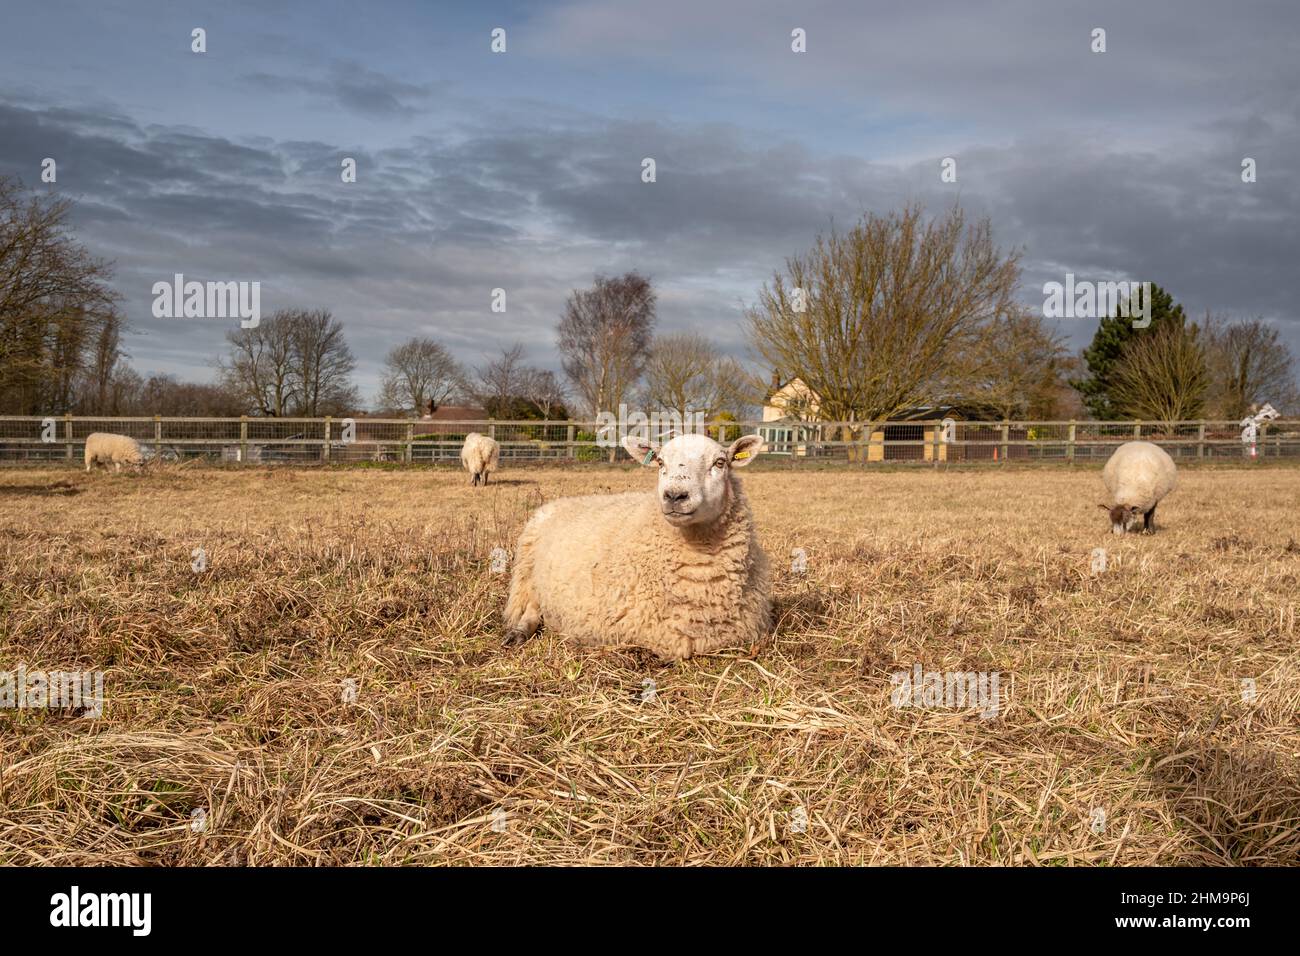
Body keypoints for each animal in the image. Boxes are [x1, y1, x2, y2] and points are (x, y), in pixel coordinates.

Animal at [502, 432, 772, 660]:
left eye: (720, 462)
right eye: (660, 462)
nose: (675, 495)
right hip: (529, 574)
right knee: (532, 607)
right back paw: (517, 633)